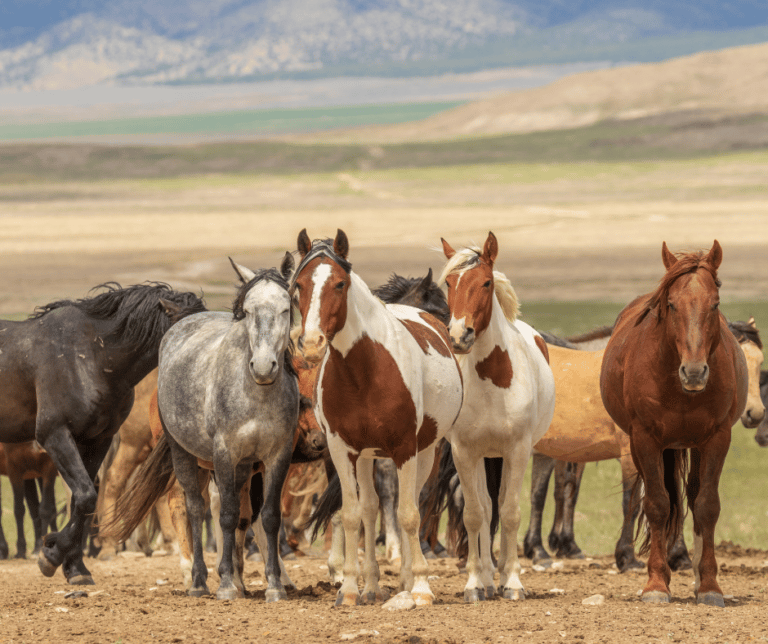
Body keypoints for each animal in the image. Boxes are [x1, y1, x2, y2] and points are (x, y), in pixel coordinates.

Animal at [0, 282, 205, 585]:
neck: (92, 357)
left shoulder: (97, 440)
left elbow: (83, 502)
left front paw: (74, 567)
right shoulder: (55, 435)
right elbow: (86, 496)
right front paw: (51, 554)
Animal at [293, 229, 463, 606]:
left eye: (339, 284)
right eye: (299, 284)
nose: (311, 343)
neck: (364, 371)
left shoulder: (405, 449)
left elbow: (408, 515)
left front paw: (420, 586)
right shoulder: (343, 450)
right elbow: (354, 514)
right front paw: (349, 589)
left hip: (425, 453)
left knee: (412, 504)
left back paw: (406, 581)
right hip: (367, 457)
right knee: (371, 509)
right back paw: (371, 585)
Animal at [439, 232, 556, 602]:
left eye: (486, 282)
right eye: (449, 283)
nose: (459, 336)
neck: (493, 379)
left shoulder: (517, 451)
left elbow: (511, 511)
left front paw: (514, 582)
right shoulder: (465, 453)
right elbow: (476, 514)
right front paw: (476, 583)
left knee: (502, 506)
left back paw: (503, 575)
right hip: (483, 458)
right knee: (487, 508)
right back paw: (491, 578)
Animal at [600, 240, 748, 607]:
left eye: (715, 304)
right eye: (671, 304)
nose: (694, 372)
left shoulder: (716, 439)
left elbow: (707, 506)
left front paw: (709, 586)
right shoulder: (645, 439)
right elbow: (657, 504)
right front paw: (656, 584)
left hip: (692, 446)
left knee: (693, 498)